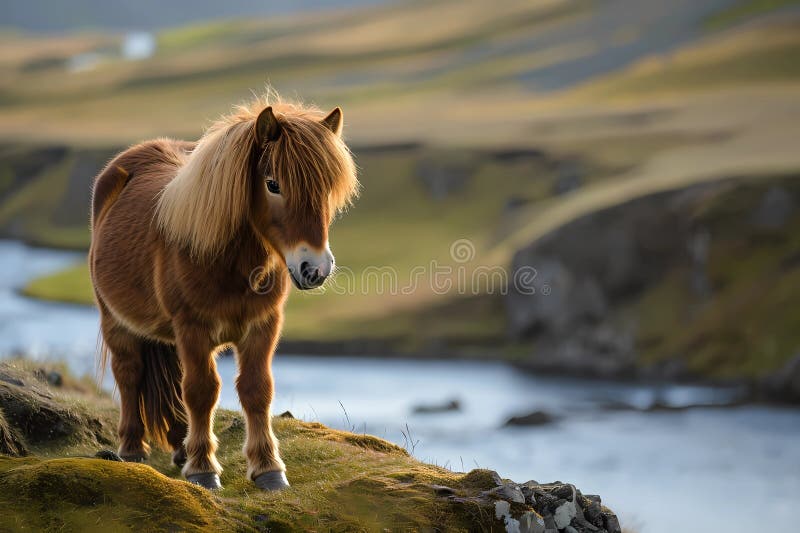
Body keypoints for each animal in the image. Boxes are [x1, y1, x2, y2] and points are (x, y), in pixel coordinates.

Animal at [88, 95, 359, 490]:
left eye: (326, 188)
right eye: (273, 184)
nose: (316, 269)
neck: (230, 263)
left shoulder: (263, 325)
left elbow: (257, 390)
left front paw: (268, 468)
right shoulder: (193, 328)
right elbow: (202, 391)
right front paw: (203, 469)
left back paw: (180, 447)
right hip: (115, 319)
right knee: (129, 374)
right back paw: (133, 448)